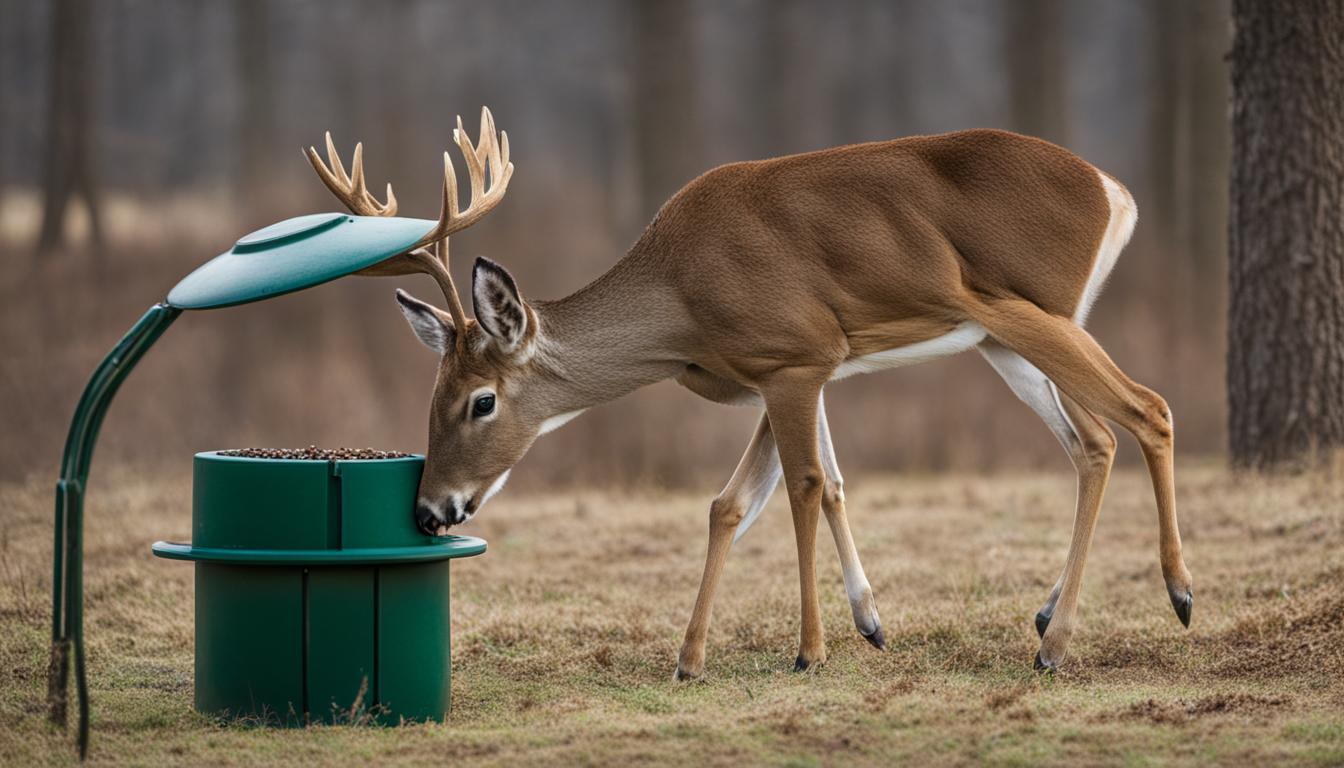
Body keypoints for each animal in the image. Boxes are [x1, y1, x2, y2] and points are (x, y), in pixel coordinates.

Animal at [305, 107, 1192, 676]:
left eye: (480, 401)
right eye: (434, 395)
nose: (430, 510)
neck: (681, 305)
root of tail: (1115, 191)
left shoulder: (793, 355)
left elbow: (801, 488)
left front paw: (810, 650)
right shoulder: (786, 370)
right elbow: (743, 501)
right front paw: (703, 656)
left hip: (1032, 311)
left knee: (1145, 409)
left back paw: (1143, 610)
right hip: (1004, 340)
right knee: (1093, 439)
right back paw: (1050, 621)